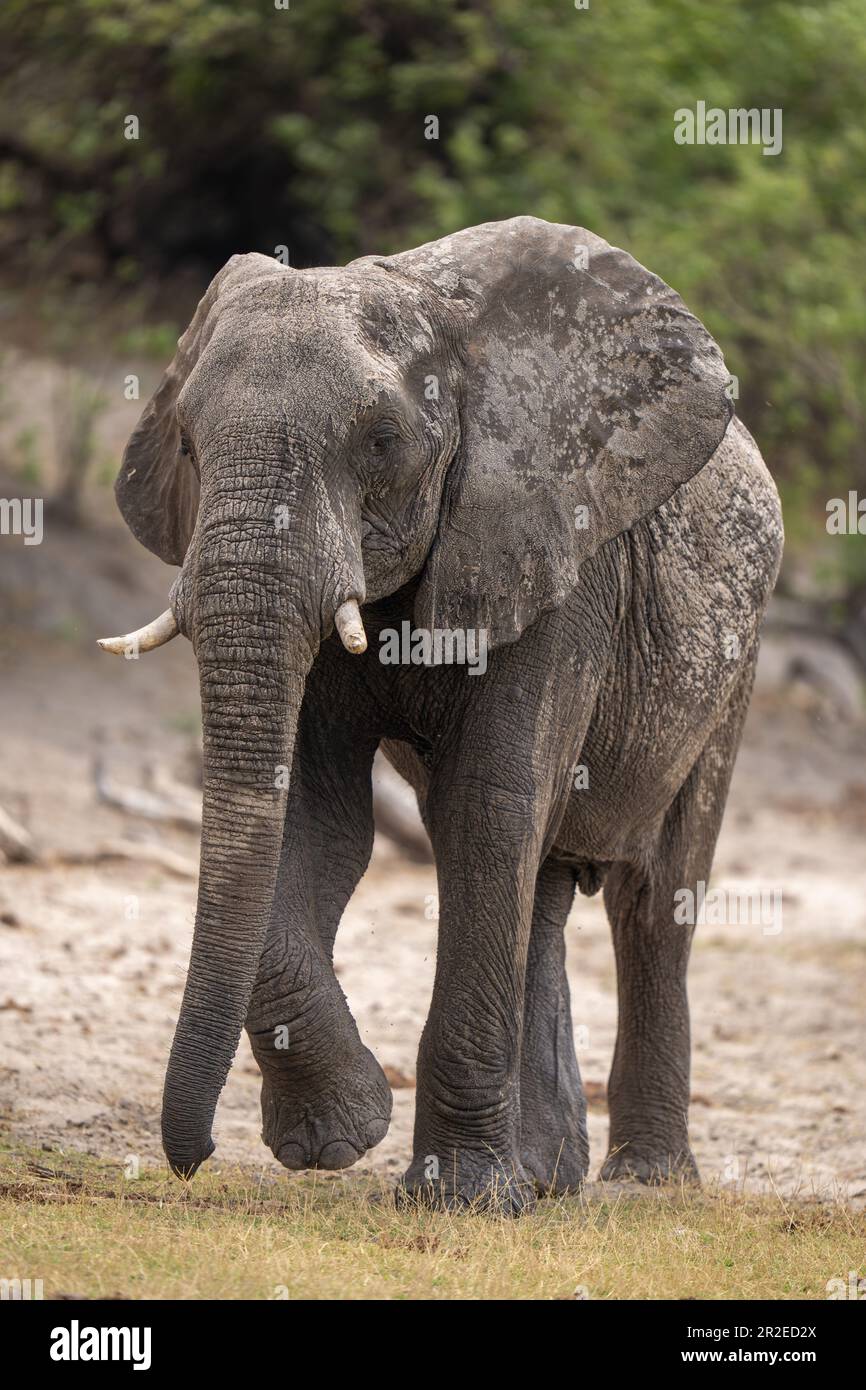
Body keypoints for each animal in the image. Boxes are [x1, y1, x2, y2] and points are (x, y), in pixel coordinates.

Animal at [99, 216, 783, 1212]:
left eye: (382, 439)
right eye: (187, 442)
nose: (193, 1160)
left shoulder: (557, 547)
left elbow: (487, 808)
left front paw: (453, 1198)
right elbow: (321, 818)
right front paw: (341, 1137)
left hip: (736, 659)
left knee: (656, 896)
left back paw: (643, 1183)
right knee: (542, 887)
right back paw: (543, 1180)